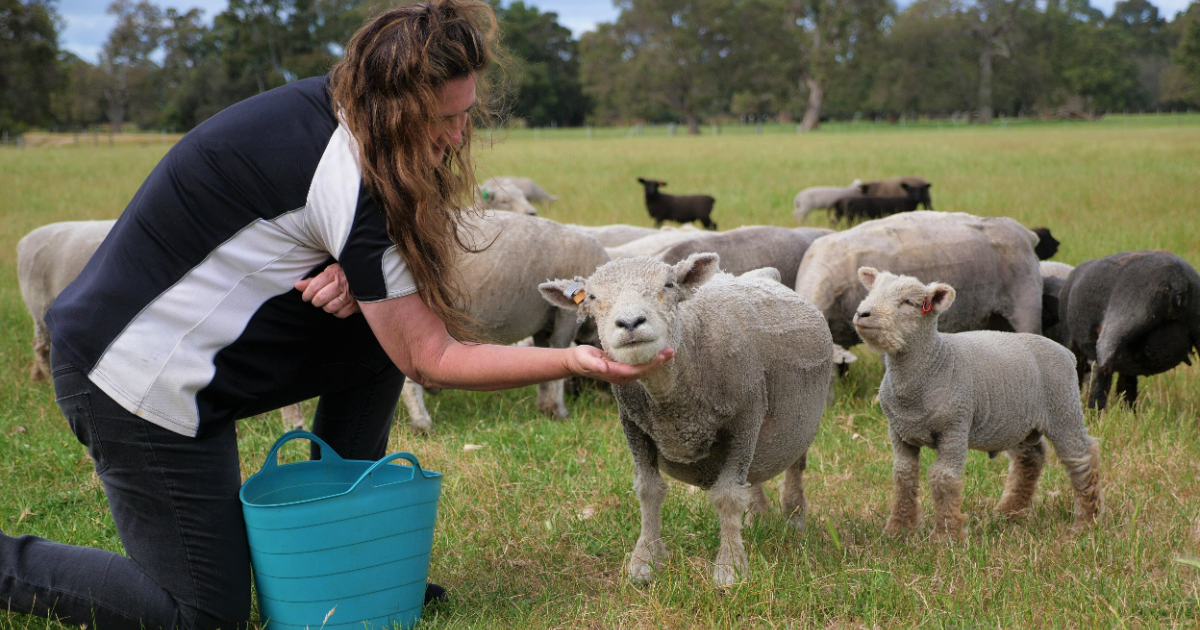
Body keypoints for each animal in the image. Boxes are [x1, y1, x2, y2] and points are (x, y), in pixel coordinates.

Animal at [539, 254, 832, 586]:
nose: (630, 323)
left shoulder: (744, 421)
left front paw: (730, 567)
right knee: (755, 472)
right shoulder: (634, 426)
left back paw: (794, 516)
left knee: (795, 466)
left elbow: (728, 496)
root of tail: (762, 274)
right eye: (591, 297)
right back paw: (756, 516)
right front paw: (645, 561)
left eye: (669, 284)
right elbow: (648, 490)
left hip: (800, 422)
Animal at [853, 267, 1102, 540]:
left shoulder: (954, 427)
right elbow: (903, 476)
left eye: (908, 302)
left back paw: (1087, 521)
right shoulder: (899, 432)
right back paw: (1011, 511)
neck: (934, 363)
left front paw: (946, 535)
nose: (862, 314)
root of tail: (1066, 353)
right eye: (871, 292)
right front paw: (898, 530)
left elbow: (944, 478)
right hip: (1015, 421)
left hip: (1063, 408)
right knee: (1031, 457)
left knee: (1081, 458)